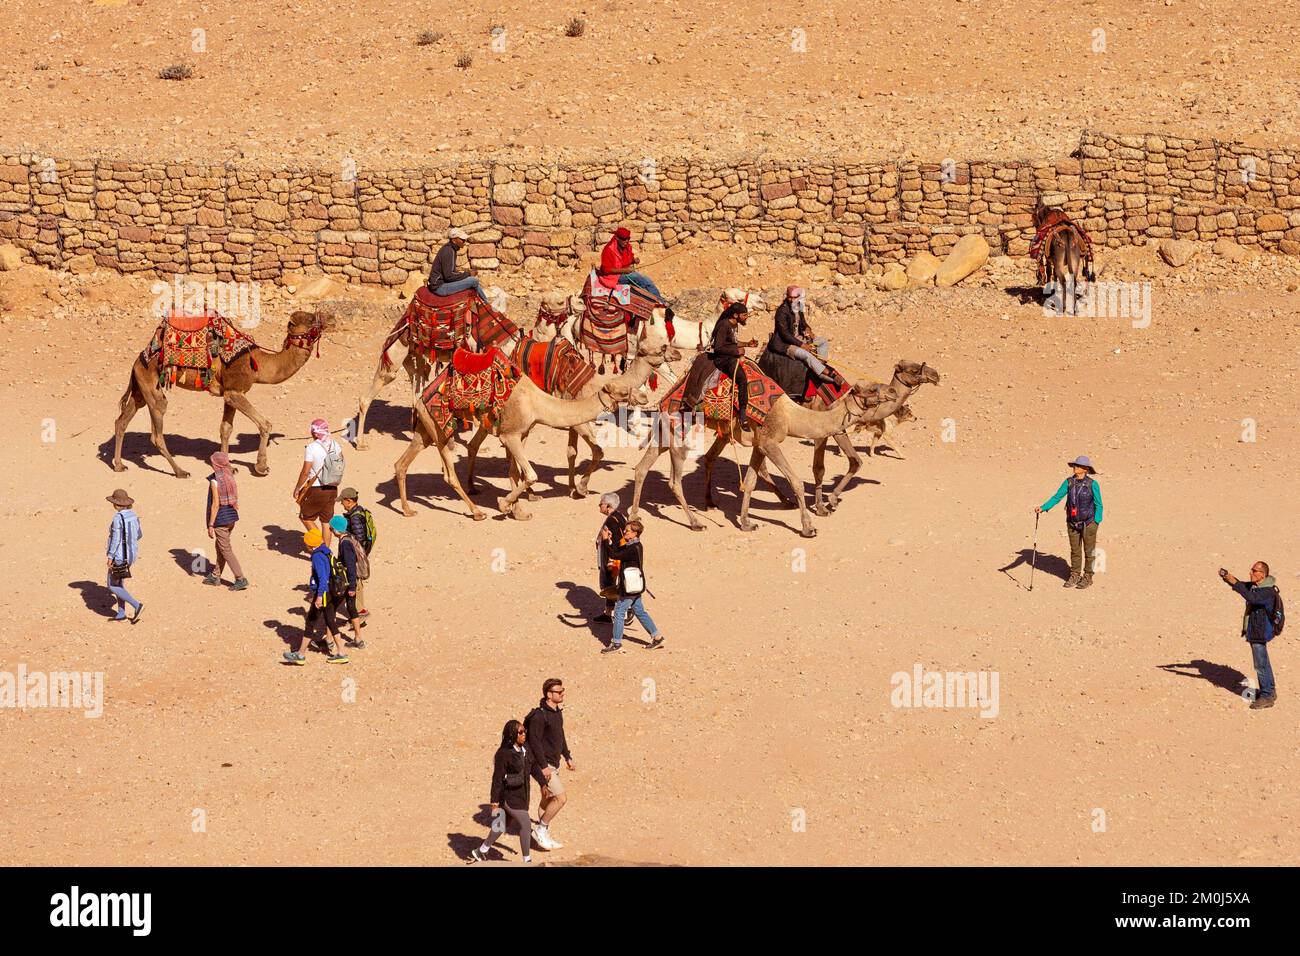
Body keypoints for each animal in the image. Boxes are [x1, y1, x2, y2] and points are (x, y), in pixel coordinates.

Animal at [112, 311, 326, 478]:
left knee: (122, 421)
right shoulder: (235, 392)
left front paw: (229, 467)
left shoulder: (229, 394)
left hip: (140, 389)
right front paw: (261, 467)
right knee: (157, 427)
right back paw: (180, 471)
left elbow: (225, 429)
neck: (258, 364)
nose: (325, 317)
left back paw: (119, 465)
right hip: (151, 385)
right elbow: (265, 424)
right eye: (310, 319)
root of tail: (137, 361)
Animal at [394, 375, 639, 522]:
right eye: (623, 391)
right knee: (449, 474)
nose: (642, 396)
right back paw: (477, 512)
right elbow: (530, 474)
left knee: (401, 463)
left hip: (425, 428)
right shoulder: (509, 435)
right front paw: (504, 505)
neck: (536, 404)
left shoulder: (520, 433)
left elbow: (514, 472)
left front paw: (518, 511)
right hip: (439, 429)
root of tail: (420, 398)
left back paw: (407, 509)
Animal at [461, 337, 682, 500]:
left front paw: (572, 487)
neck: (595, 386)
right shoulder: (580, 422)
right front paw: (581, 488)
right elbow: (597, 451)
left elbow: (572, 452)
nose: (677, 354)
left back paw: (473, 487)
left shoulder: (573, 422)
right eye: (661, 348)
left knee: (474, 445)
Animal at [627, 379, 899, 537]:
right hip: (678, 432)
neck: (791, 417)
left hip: (663, 433)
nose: (893, 391)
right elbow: (795, 481)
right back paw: (695, 523)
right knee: (674, 480)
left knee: (641, 468)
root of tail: (663, 400)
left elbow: (749, 483)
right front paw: (808, 527)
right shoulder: (770, 441)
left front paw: (746, 522)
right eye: (872, 389)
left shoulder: (759, 445)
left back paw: (634, 516)